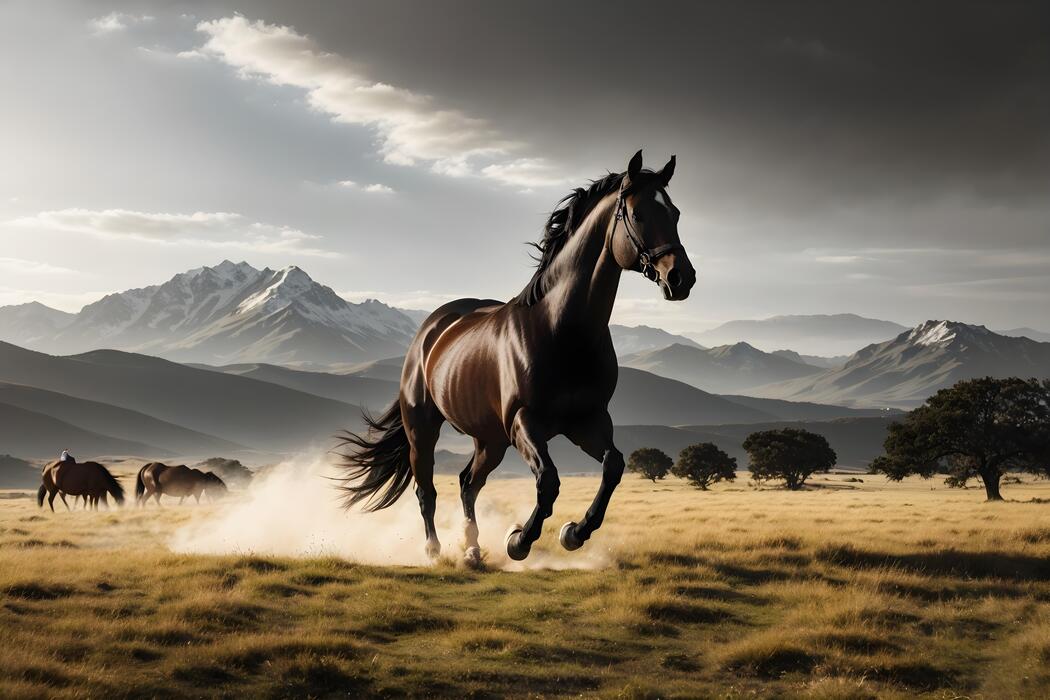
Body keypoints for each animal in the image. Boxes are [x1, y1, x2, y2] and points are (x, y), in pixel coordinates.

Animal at [338, 150, 695, 564]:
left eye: (676, 213)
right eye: (638, 215)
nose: (681, 278)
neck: (561, 330)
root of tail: (430, 331)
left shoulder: (587, 421)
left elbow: (613, 467)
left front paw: (574, 533)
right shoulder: (525, 423)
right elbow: (549, 480)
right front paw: (519, 540)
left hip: (489, 439)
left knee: (468, 483)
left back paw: (473, 549)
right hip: (424, 429)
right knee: (427, 489)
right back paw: (435, 550)